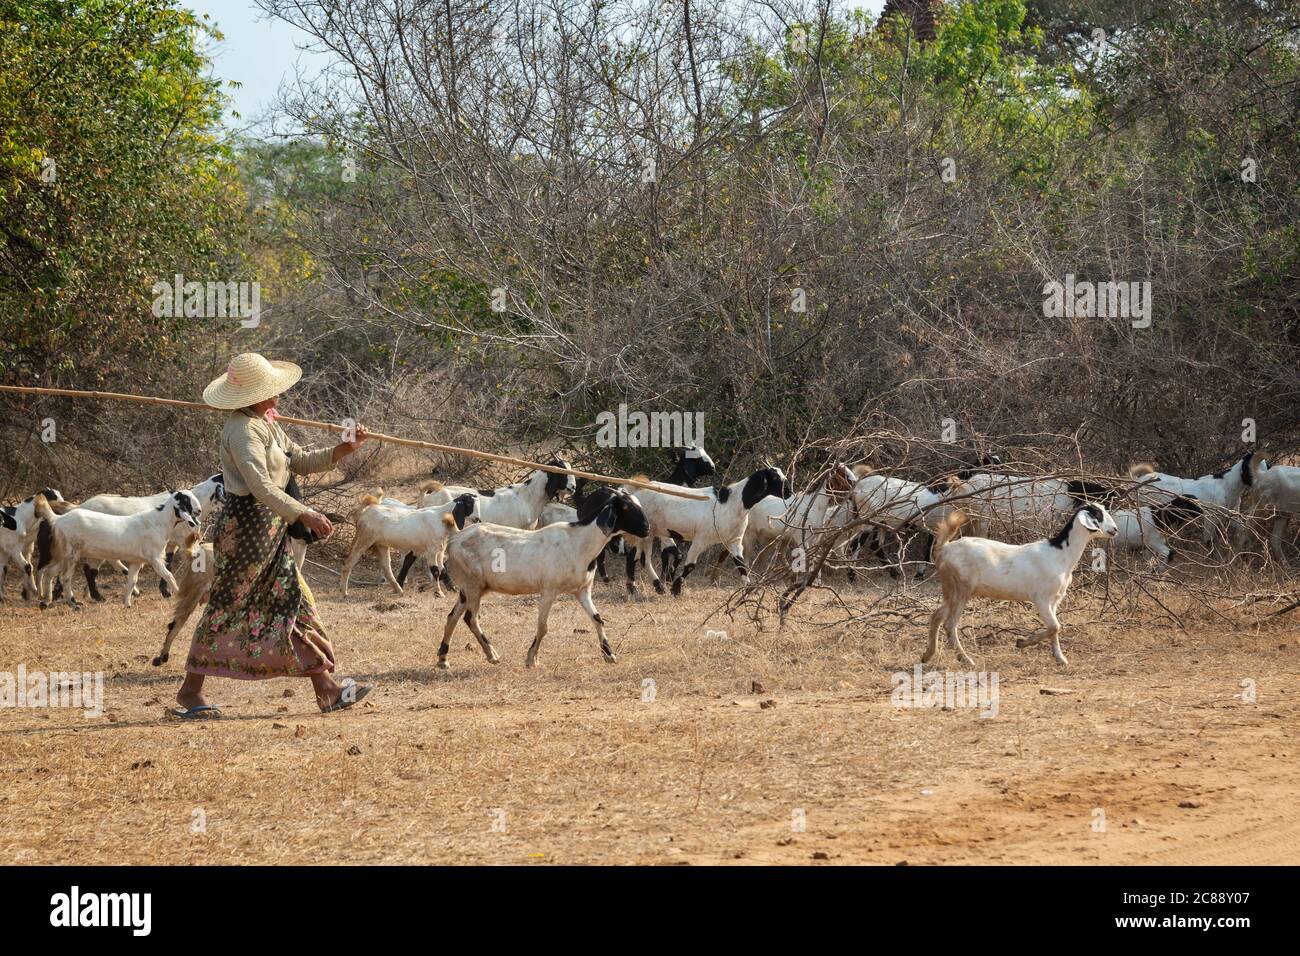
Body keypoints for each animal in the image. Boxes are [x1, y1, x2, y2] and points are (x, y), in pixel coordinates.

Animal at [34, 491, 201, 608]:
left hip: (62, 554)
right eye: (186, 500)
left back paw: (46, 601)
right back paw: (73, 603)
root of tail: (58, 519)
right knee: (65, 577)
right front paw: (178, 593)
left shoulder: (137, 561)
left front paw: (127, 603)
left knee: (49, 573)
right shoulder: (155, 558)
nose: (198, 511)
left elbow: (132, 580)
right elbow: (168, 575)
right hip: (71, 554)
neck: (158, 521)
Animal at [341, 490, 480, 598]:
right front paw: (439, 593)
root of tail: (364, 512)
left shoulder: (439, 551)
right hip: (364, 540)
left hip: (381, 545)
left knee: (387, 568)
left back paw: (399, 591)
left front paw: (448, 589)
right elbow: (435, 571)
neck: (441, 516)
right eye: (468, 503)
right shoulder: (431, 551)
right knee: (349, 563)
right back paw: (344, 592)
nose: (478, 519)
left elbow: (442, 570)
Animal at [439, 488, 650, 669]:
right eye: (625, 507)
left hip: (467, 588)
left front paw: (609, 654)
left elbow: (598, 619)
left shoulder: (582, 590)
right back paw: (492, 654)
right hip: (473, 585)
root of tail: (455, 538)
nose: (647, 529)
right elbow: (543, 626)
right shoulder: (549, 589)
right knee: (470, 618)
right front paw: (531, 659)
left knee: (452, 616)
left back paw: (443, 658)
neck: (579, 542)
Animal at [925, 503, 1118, 667]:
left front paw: (1060, 658)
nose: (1115, 530)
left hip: (952, 591)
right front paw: (1021, 642)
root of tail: (944, 549)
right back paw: (965, 659)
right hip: (961, 589)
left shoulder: (1054, 601)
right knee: (950, 624)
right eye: (1098, 515)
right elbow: (1055, 626)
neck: (1060, 554)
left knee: (936, 616)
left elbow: (1055, 629)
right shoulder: (1041, 599)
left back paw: (928, 655)